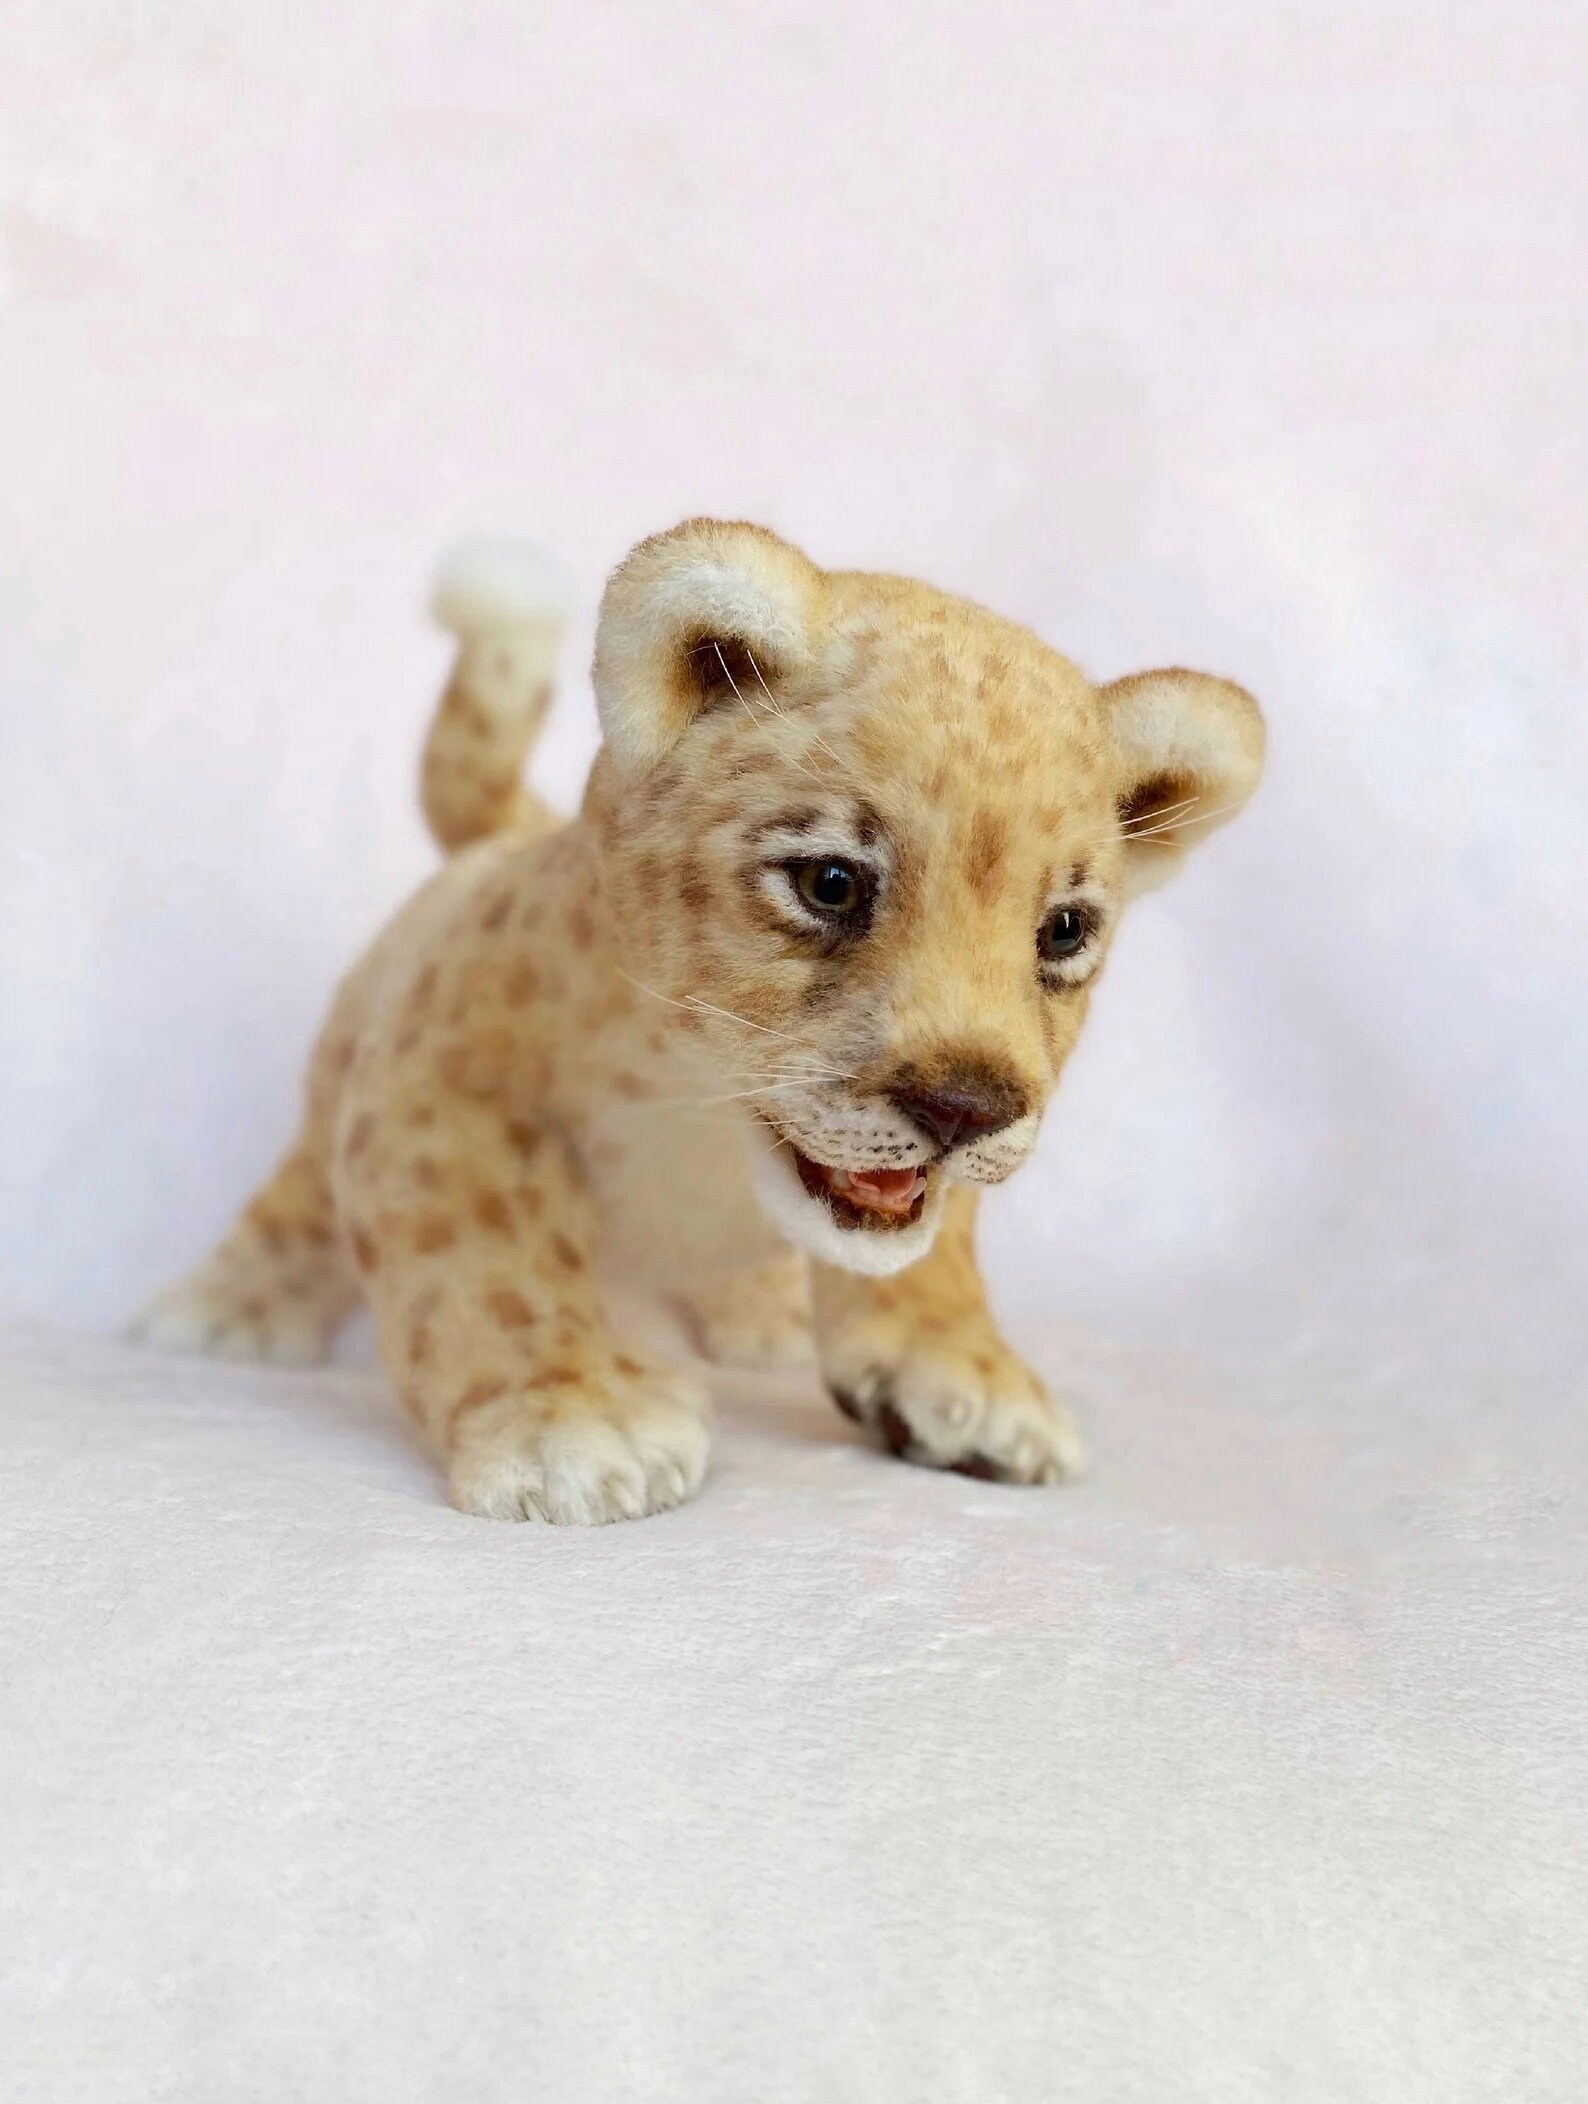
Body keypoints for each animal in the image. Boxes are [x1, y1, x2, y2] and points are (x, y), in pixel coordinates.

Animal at [133, 518, 1265, 1523]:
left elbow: (932, 1262)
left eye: (1064, 930)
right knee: (295, 1202)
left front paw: (974, 1388)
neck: (706, 1128)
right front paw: (574, 1427)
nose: (963, 1110)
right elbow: (492, 1265)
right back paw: (220, 1317)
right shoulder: (439, 1082)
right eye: (831, 883)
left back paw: (764, 1319)